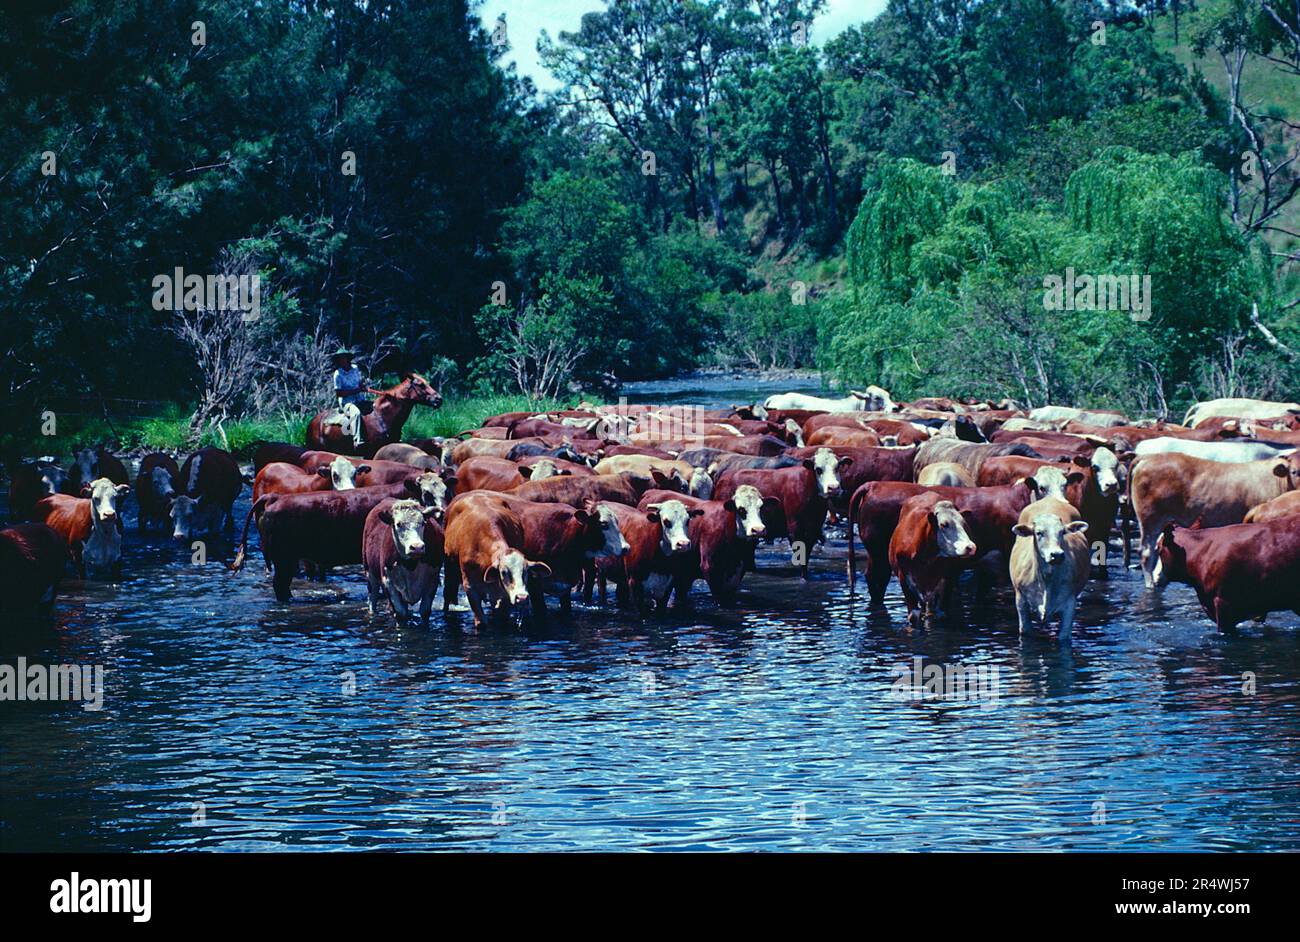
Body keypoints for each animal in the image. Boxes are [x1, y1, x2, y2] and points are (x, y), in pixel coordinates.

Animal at [362, 498, 445, 626]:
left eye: (423, 523)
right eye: (398, 524)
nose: (417, 547)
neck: (411, 566)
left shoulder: (432, 580)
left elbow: (425, 612)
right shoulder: (388, 582)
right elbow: (400, 614)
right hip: (369, 573)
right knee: (372, 598)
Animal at [888, 494, 977, 626]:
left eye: (963, 523)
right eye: (944, 524)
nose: (971, 547)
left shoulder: (949, 578)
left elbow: (942, 613)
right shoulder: (903, 578)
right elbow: (913, 616)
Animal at [1009, 497, 1091, 638]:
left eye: (1062, 532)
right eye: (1039, 533)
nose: (1057, 554)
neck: (1046, 579)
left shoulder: (1069, 603)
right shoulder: (1020, 601)